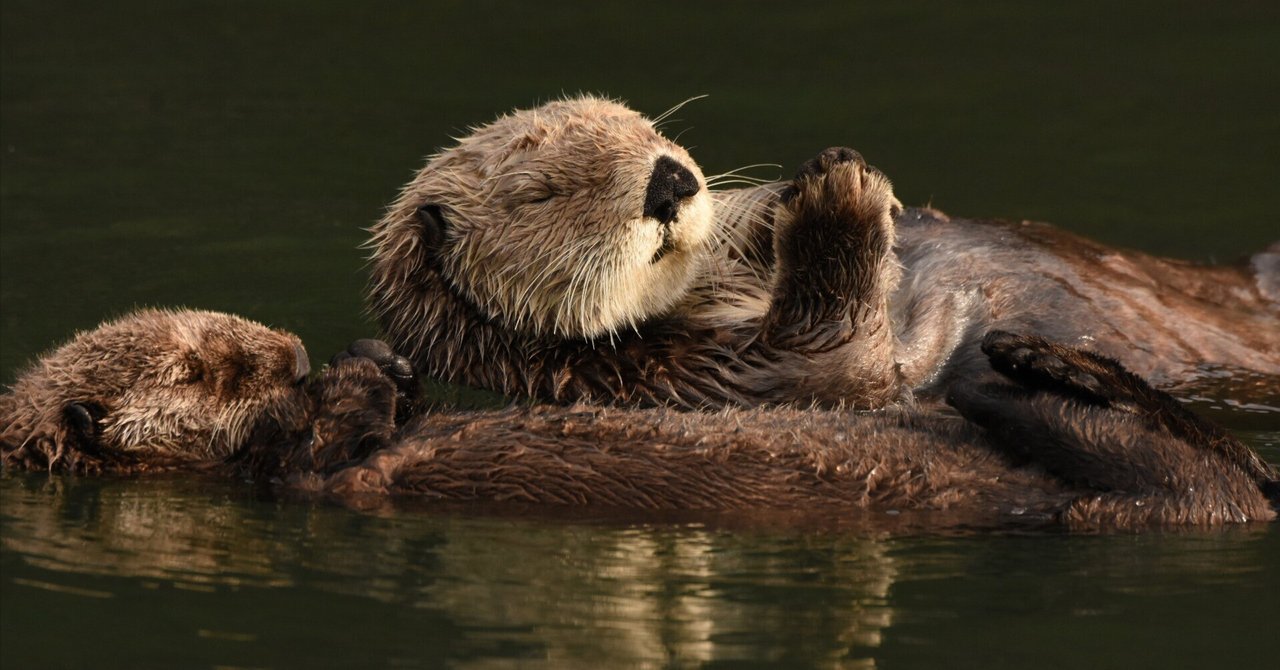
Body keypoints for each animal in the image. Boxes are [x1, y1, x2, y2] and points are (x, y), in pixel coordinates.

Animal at [366, 96, 1280, 410]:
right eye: (540, 194)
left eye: (646, 127)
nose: (669, 181)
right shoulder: (711, 380)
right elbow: (847, 355)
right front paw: (839, 197)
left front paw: (806, 182)